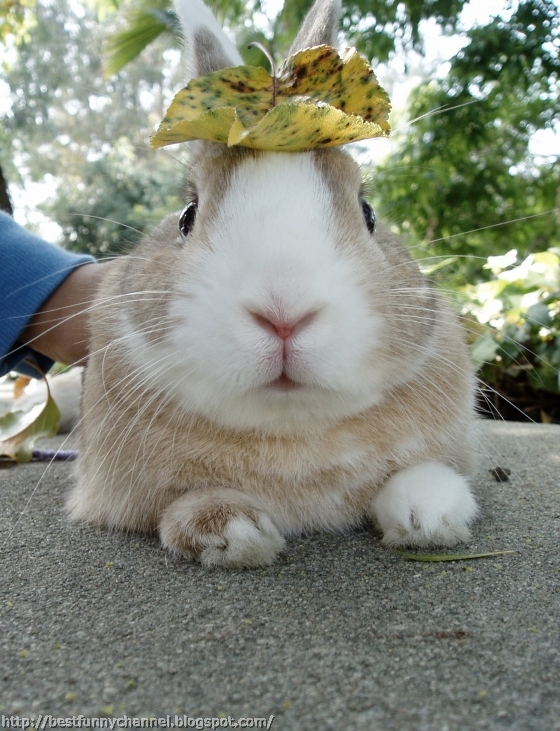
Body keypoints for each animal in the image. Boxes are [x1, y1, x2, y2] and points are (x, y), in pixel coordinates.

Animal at [67, 0, 479, 568]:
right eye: (186, 217)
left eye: (369, 213)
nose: (285, 314)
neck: (290, 430)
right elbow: (179, 506)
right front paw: (232, 530)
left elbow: (420, 475)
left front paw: (430, 516)